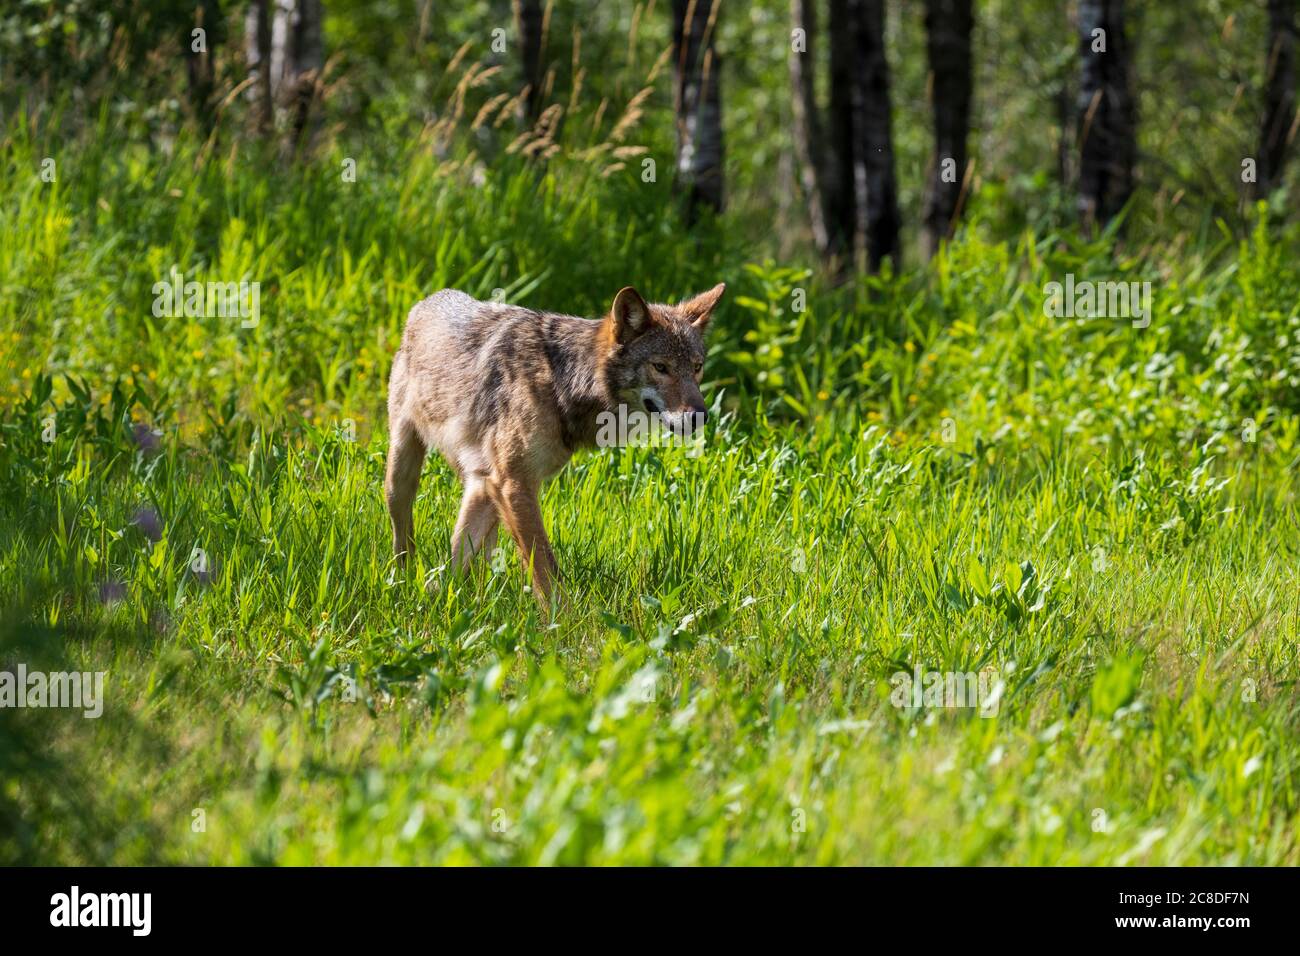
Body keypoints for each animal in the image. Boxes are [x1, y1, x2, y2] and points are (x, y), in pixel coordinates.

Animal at [384, 283, 725, 599]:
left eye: (697, 367)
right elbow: (546, 570)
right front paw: (561, 621)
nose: (700, 417)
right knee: (406, 537)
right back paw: (405, 583)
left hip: (481, 487)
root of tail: (428, 300)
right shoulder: (516, 485)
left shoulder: (505, 484)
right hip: (402, 477)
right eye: (660, 367)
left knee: (458, 562)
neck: (561, 381)